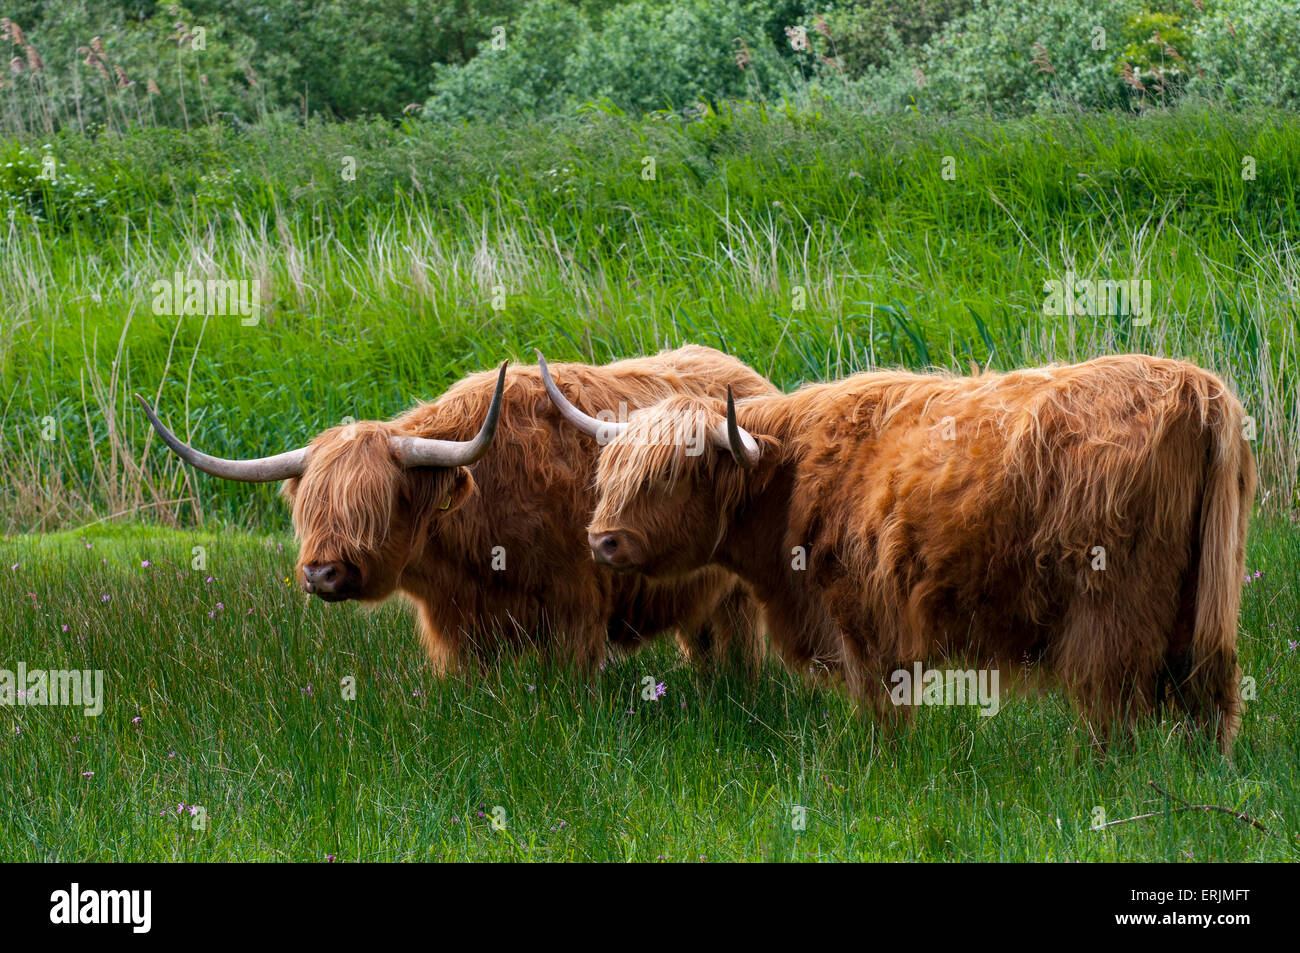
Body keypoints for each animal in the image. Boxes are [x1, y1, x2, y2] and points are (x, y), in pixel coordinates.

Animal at [137, 346, 778, 673]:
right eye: (310, 510)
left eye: (376, 505)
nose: (321, 573)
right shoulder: (455, 628)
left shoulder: (576, 608)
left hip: (737, 598)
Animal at [540, 353, 1256, 753]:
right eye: (614, 473)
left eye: (671, 475)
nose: (602, 540)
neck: (788, 478)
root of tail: (1199, 389)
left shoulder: (863, 616)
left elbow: (882, 707)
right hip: (1201, 603)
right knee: (1210, 699)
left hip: (1112, 610)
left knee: (1117, 706)